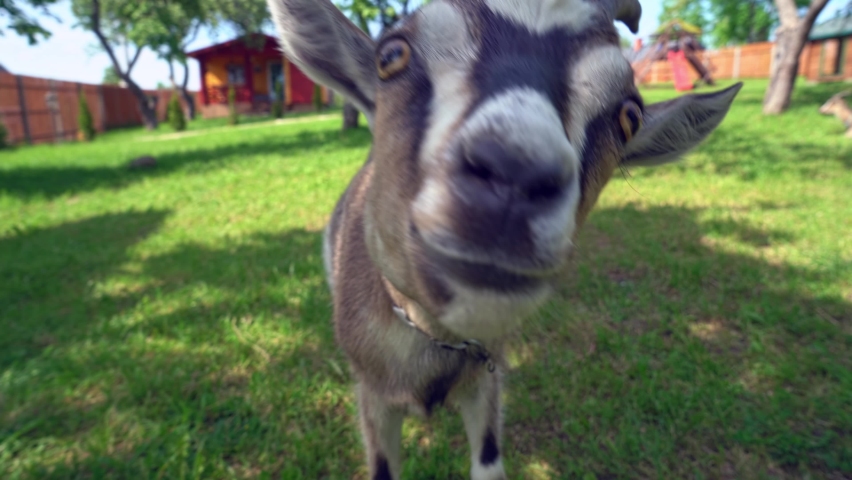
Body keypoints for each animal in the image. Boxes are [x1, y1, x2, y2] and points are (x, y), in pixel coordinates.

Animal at [266, 0, 741, 478]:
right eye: (390, 56)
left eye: (630, 117)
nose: (516, 173)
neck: (432, 340)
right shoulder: (373, 396)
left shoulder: (486, 383)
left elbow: (489, 462)